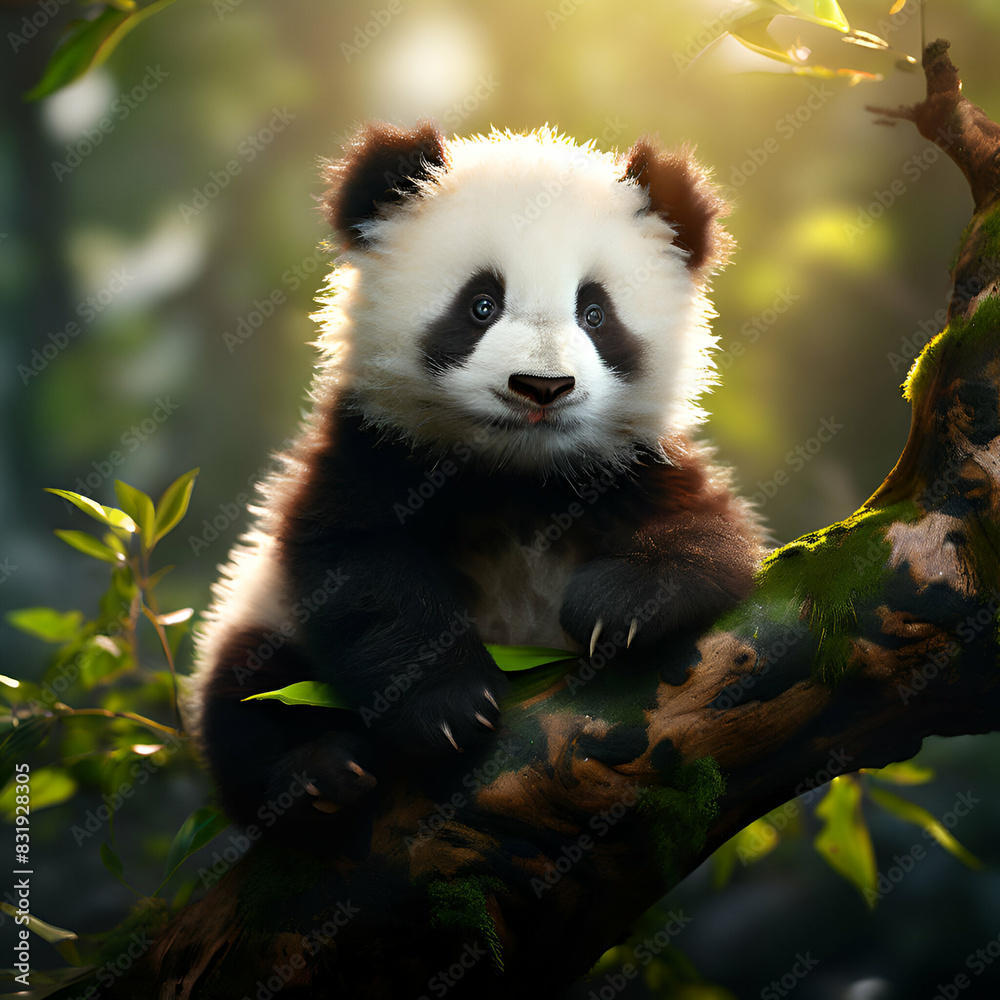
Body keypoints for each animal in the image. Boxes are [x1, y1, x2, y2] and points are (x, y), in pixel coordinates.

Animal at [188, 120, 764, 828]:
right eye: (481, 304)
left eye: (595, 314)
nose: (542, 387)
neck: (516, 472)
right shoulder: (371, 451)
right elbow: (362, 568)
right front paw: (448, 706)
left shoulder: (636, 464)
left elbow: (713, 537)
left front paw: (619, 606)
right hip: (262, 613)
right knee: (248, 694)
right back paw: (320, 773)